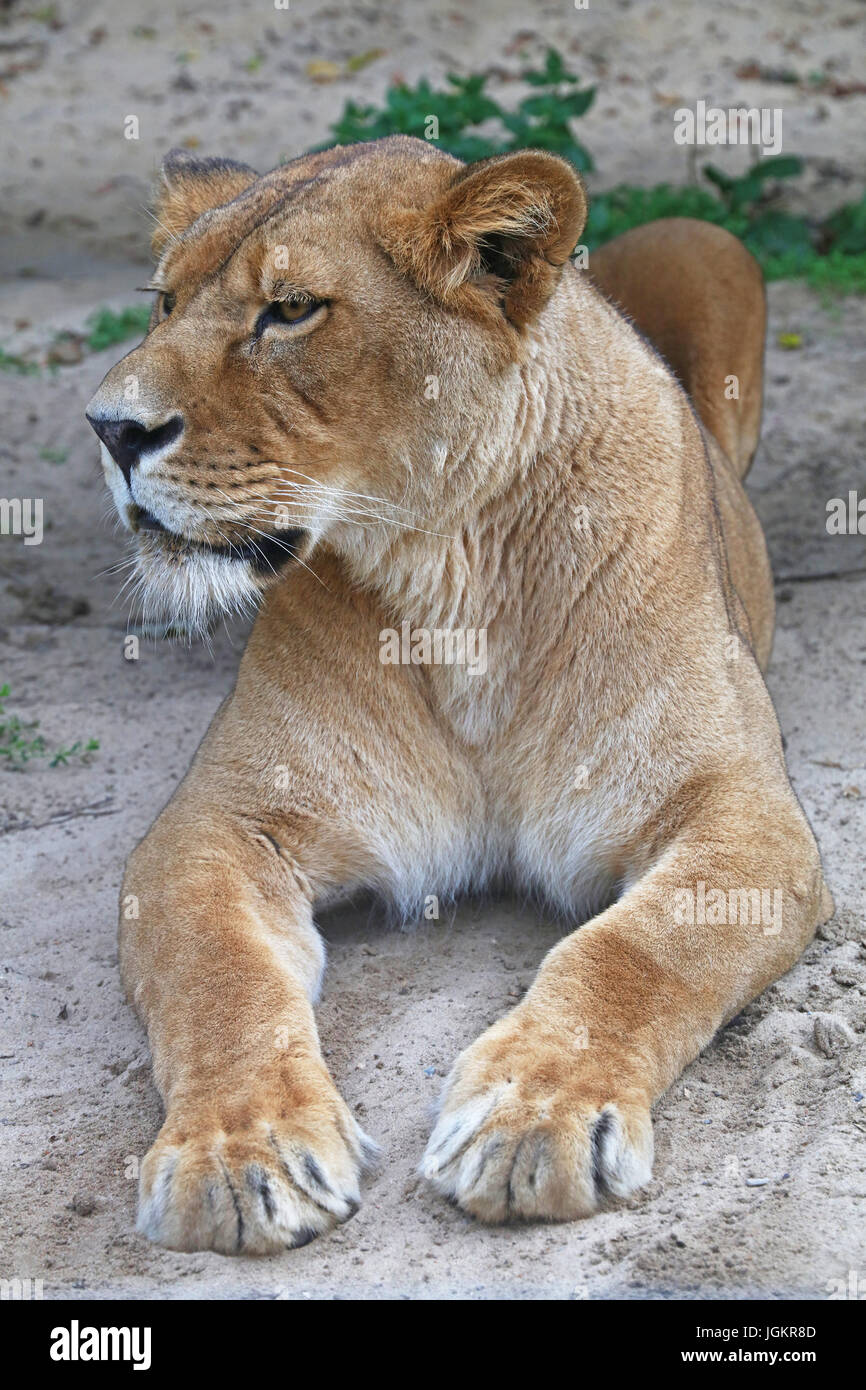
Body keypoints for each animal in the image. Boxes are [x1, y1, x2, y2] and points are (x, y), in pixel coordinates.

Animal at [86, 136, 832, 1254]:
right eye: (163, 302)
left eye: (291, 310)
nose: (108, 428)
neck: (450, 579)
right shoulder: (216, 821)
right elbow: (217, 972)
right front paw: (240, 1150)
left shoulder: (745, 813)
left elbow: (635, 950)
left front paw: (535, 1117)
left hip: (705, 244)